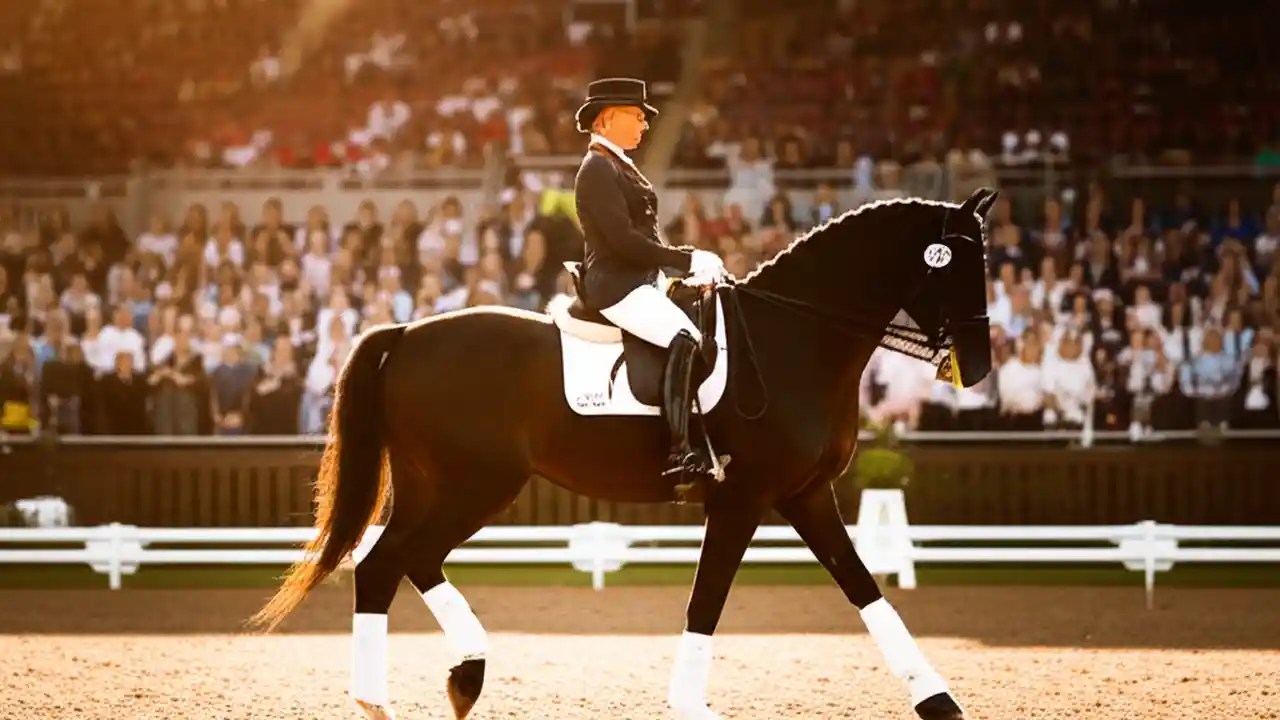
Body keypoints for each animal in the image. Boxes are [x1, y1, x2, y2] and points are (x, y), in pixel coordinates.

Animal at [251, 188, 999, 720]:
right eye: (957, 267)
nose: (981, 366)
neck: (794, 337)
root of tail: (407, 333)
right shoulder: (743, 497)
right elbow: (707, 600)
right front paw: (691, 707)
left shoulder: (806, 495)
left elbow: (865, 588)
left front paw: (938, 700)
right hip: (475, 484)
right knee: (393, 561)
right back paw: (403, 691)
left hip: (440, 483)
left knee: (396, 561)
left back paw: (455, 678)